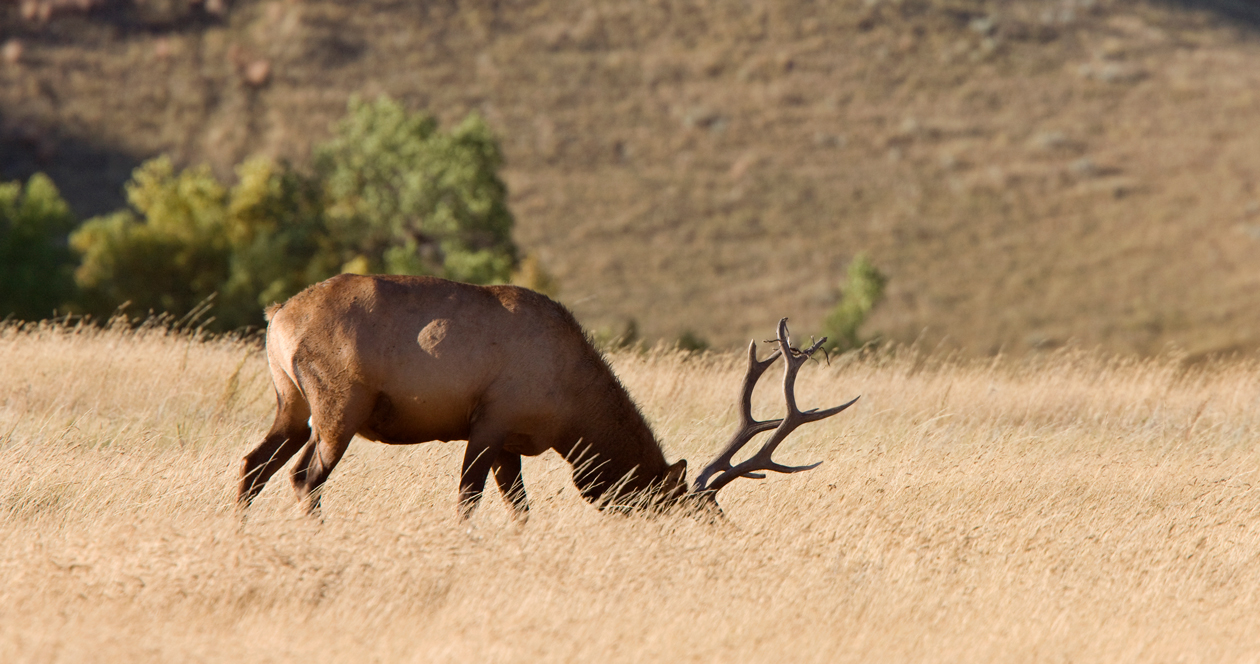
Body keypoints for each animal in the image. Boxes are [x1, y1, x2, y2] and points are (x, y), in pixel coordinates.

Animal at [237, 274, 858, 518]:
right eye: (690, 508)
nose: (723, 533)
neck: (570, 414)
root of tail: (275, 317)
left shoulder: (512, 442)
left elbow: (520, 508)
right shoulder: (490, 421)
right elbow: (468, 501)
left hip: (289, 402)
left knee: (252, 465)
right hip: (338, 405)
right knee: (303, 477)